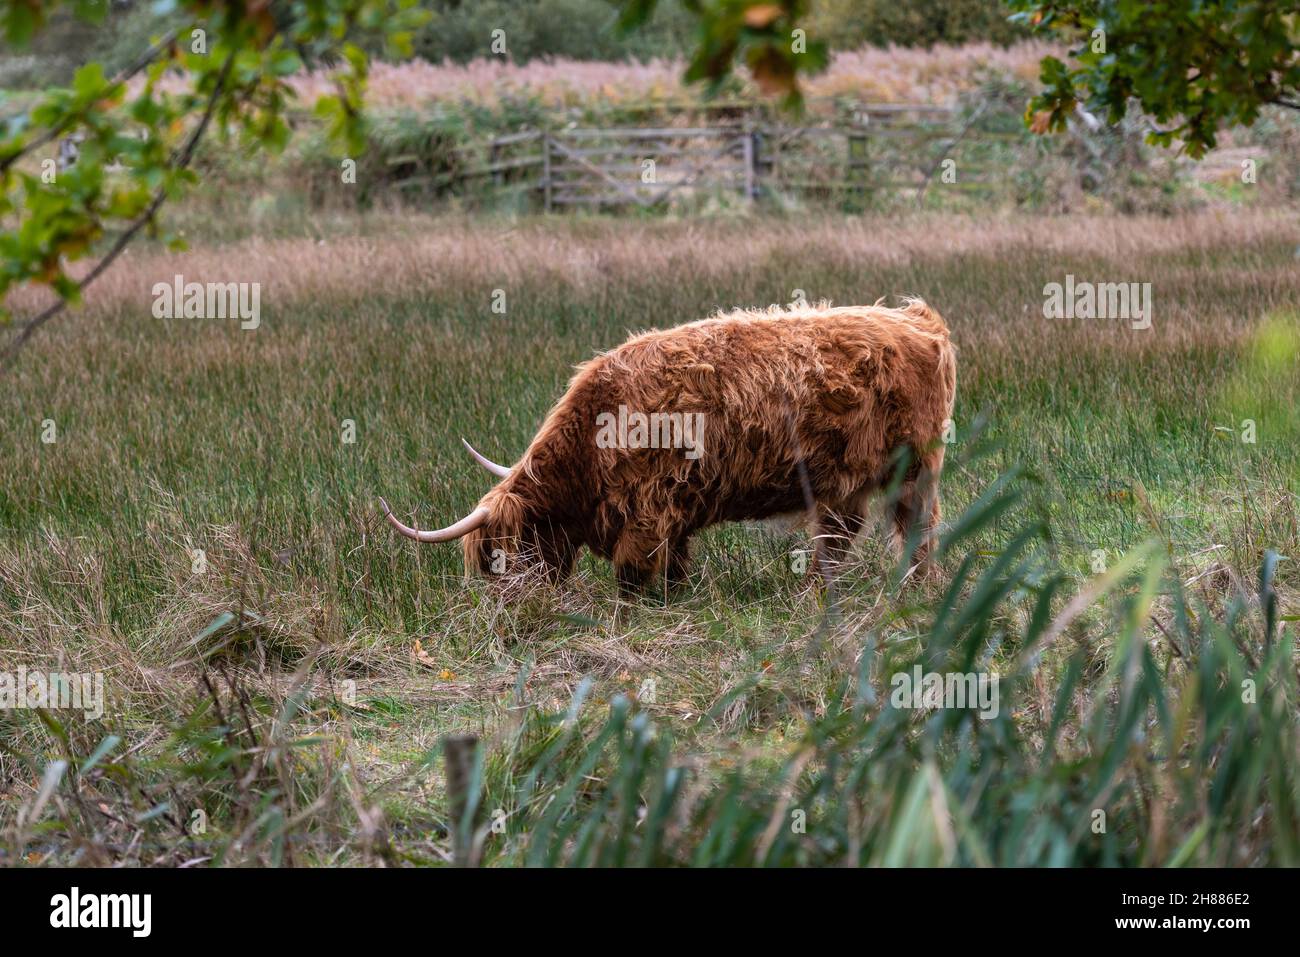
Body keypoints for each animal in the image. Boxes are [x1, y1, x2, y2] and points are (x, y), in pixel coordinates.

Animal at [379, 299, 957, 594]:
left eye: (505, 554)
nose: (515, 608)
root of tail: (915, 317)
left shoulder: (647, 510)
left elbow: (632, 575)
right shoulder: (675, 510)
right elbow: (676, 564)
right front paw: (677, 598)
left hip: (913, 468)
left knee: (910, 527)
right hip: (851, 481)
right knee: (845, 533)